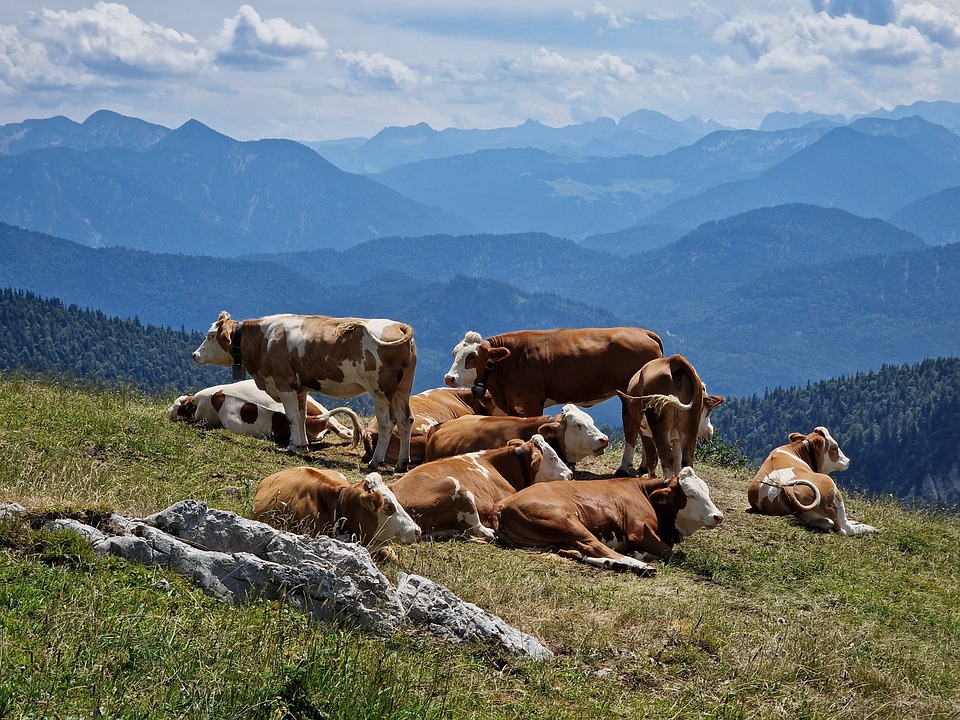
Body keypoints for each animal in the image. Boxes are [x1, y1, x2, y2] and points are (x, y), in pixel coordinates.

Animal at [192, 311, 417, 471]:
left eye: (211, 335)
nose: (194, 355)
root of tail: (399, 325)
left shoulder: (284, 383)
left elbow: (291, 416)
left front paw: (292, 447)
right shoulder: (300, 388)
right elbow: (301, 416)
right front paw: (303, 446)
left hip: (380, 390)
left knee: (387, 422)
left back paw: (375, 461)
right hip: (403, 389)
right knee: (406, 420)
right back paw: (402, 463)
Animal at [389, 434, 573, 541]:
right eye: (553, 457)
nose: (570, 474)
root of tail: (393, 488)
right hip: (456, 486)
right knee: (475, 526)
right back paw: (488, 531)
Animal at [443, 327, 663, 471]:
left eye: (472, 356)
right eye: (454, 353)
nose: (449, 378)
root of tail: (643, 332)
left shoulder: (531, 402)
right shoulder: (513, 405)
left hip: (628, 393)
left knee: (631, 426)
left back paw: (625, 466)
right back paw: (643, 465)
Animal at [493, 466, 724, 576]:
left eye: (707, 491)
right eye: (690, 495)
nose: (718, 516)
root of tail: (502, 504)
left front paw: (639, 554)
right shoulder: (638, 532)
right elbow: (671, 553)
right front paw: (640, 556)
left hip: (559, 536)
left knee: (576, 552)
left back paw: (617, 564)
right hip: (565, 520)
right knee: (594, 546)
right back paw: (638, 566)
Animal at [747, 426, 877, 536]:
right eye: (834, 447)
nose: (848, 461)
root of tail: (786, 488)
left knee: (829, 524)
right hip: (830, 485)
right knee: (844, 528)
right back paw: (870, 528)